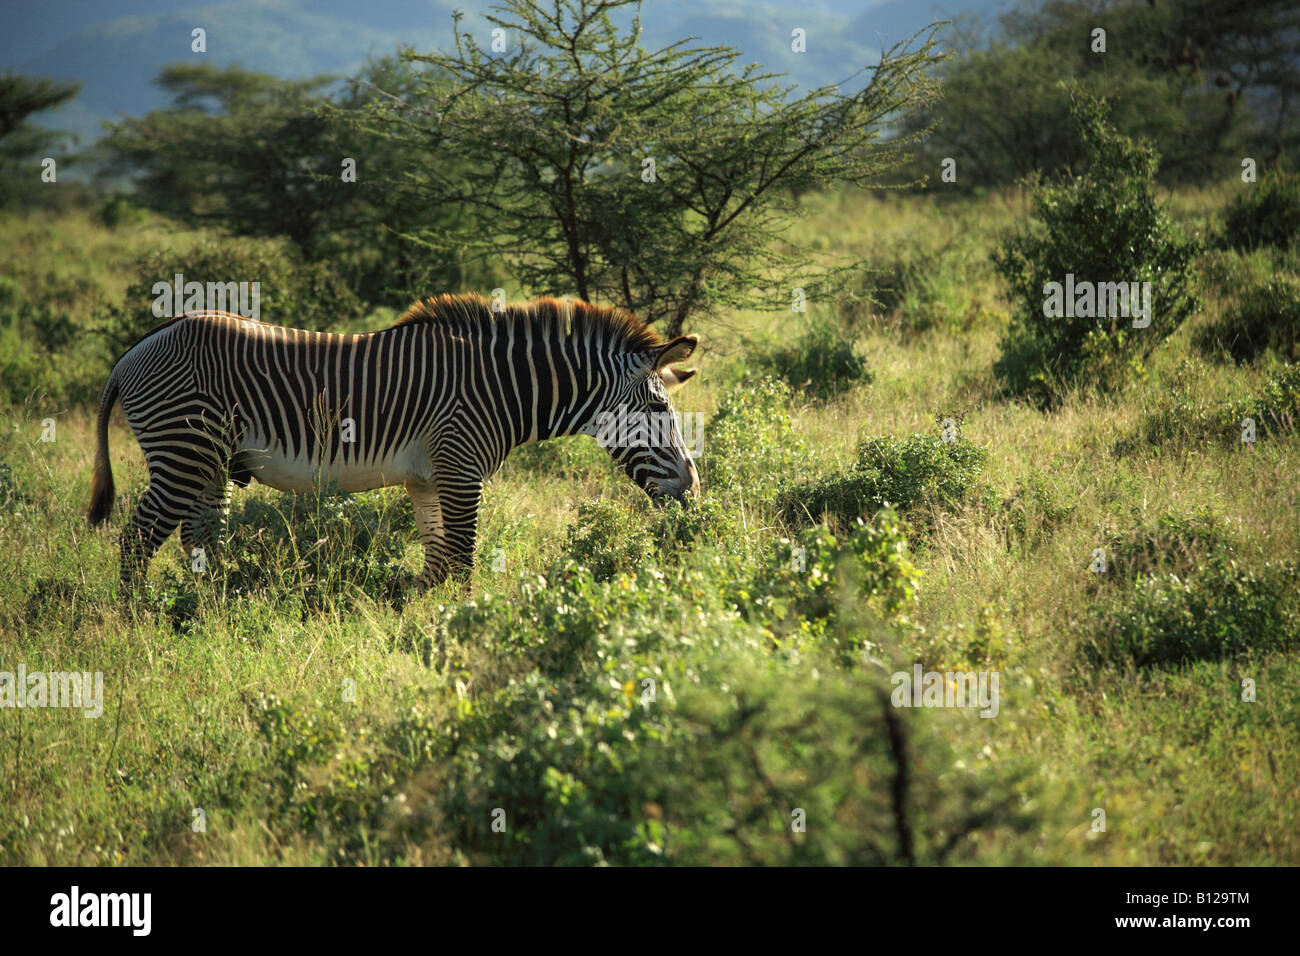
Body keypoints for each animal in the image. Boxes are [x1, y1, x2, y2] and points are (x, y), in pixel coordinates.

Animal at [87, 294, 700, 592]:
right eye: (659, 409)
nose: (693, 490)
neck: (501, 386)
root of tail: (133, 352)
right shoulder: (460, 469)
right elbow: (463, 562)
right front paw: (465, 631)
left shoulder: (428, 479)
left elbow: (436, 563)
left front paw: (408, 611)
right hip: (181, 452)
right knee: (136, 540)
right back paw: (139, 623)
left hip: (210, 464)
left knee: (200, 540)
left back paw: (202, 612)